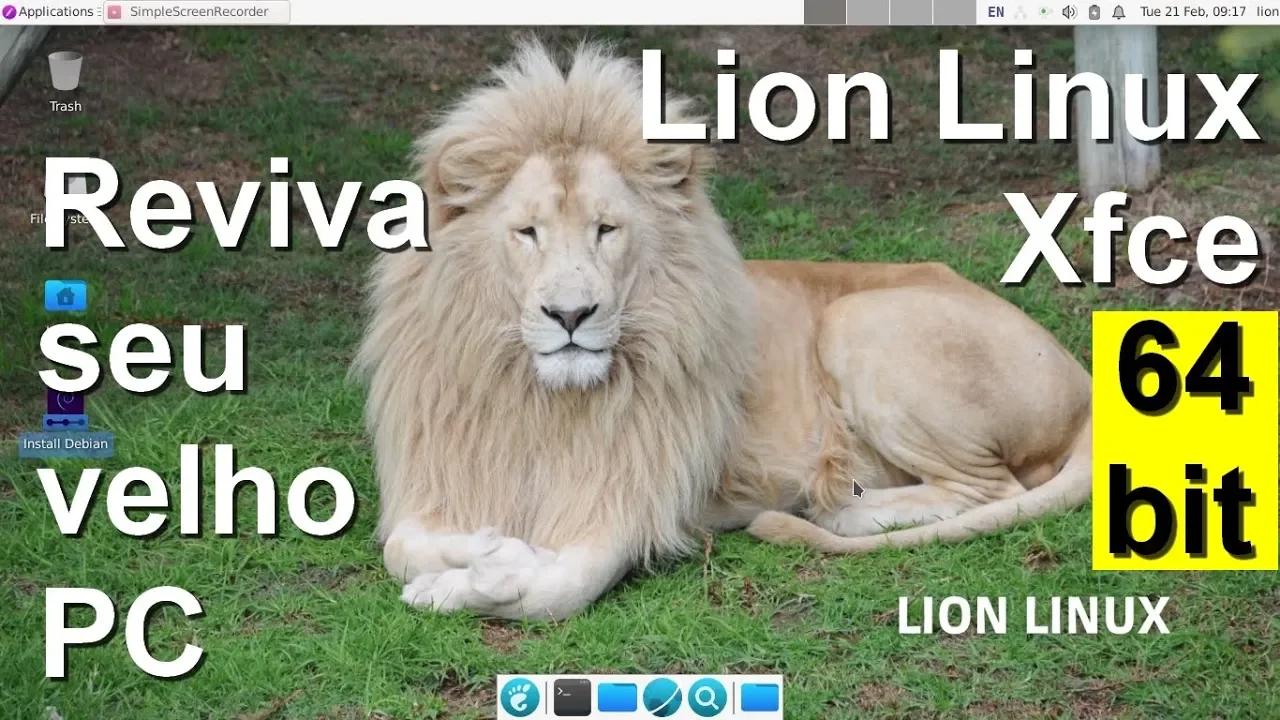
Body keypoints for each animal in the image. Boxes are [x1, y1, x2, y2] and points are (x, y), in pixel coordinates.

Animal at [354, 42, 1091, 620]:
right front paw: (484, 551)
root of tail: (1085, 384)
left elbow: (558, 589)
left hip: (857, 322)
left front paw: (483, 573)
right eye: (527, 232)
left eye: (607, 229)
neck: (538, 397)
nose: (571, 316)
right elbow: (402, 547)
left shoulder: (635, 500)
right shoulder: (441, 478)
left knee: (993, 491)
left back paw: (832, 508)